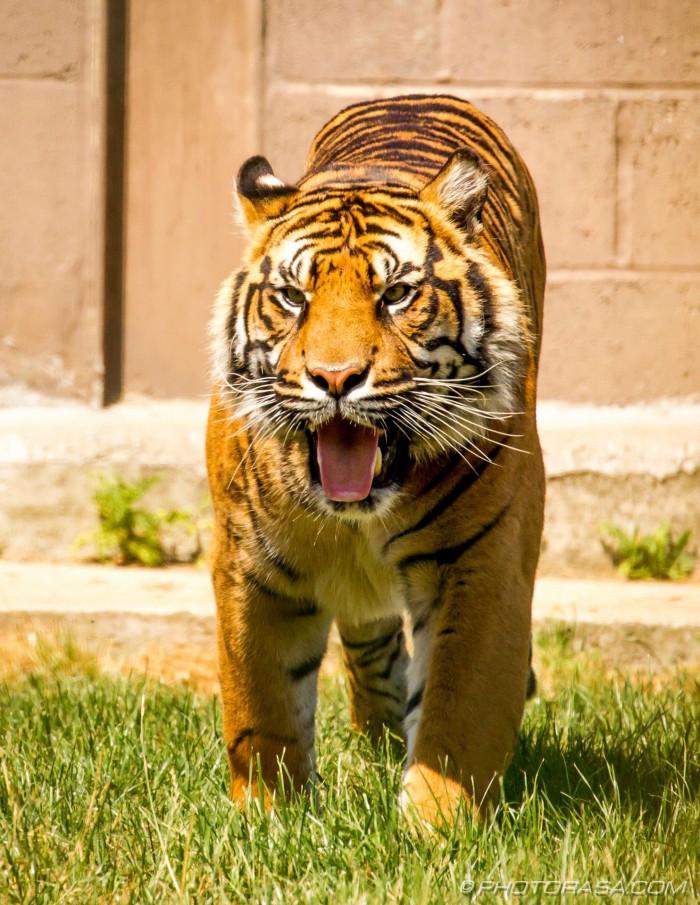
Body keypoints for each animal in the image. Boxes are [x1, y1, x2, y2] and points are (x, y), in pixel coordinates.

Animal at [207, 94, 546, 827]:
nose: (335, 378)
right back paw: (377, 739)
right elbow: (260, 705)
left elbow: (458, 711)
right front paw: (269, 818)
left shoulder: (483, 560)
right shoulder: (250, 562)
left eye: (395, 295)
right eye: (293, 297)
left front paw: (436, 827)